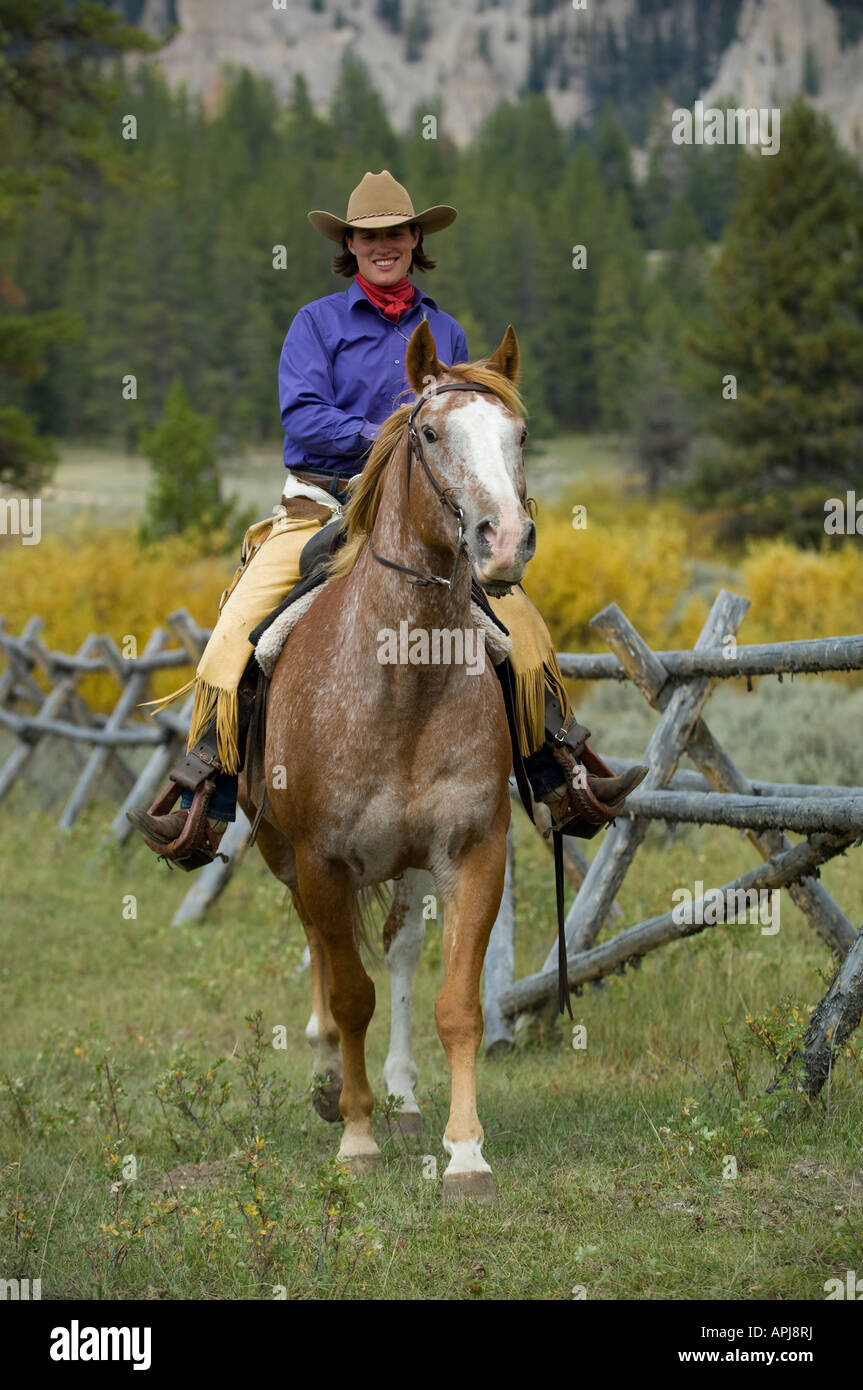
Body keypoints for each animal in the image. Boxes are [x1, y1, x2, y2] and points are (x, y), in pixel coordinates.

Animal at [240, 321, 535, 1201]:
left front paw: (465, 1153)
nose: (504, 541)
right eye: (430, 433)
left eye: (518, 435)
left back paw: (402, 1097)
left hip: (407, 864)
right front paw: (357, 1136)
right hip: (285, 857)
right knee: (321, 949)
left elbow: (455, 1003)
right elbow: (349, 995)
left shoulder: (472, 853)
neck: (402, 683)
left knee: (401, 950)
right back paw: (331, 1081)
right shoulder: (320, 859)